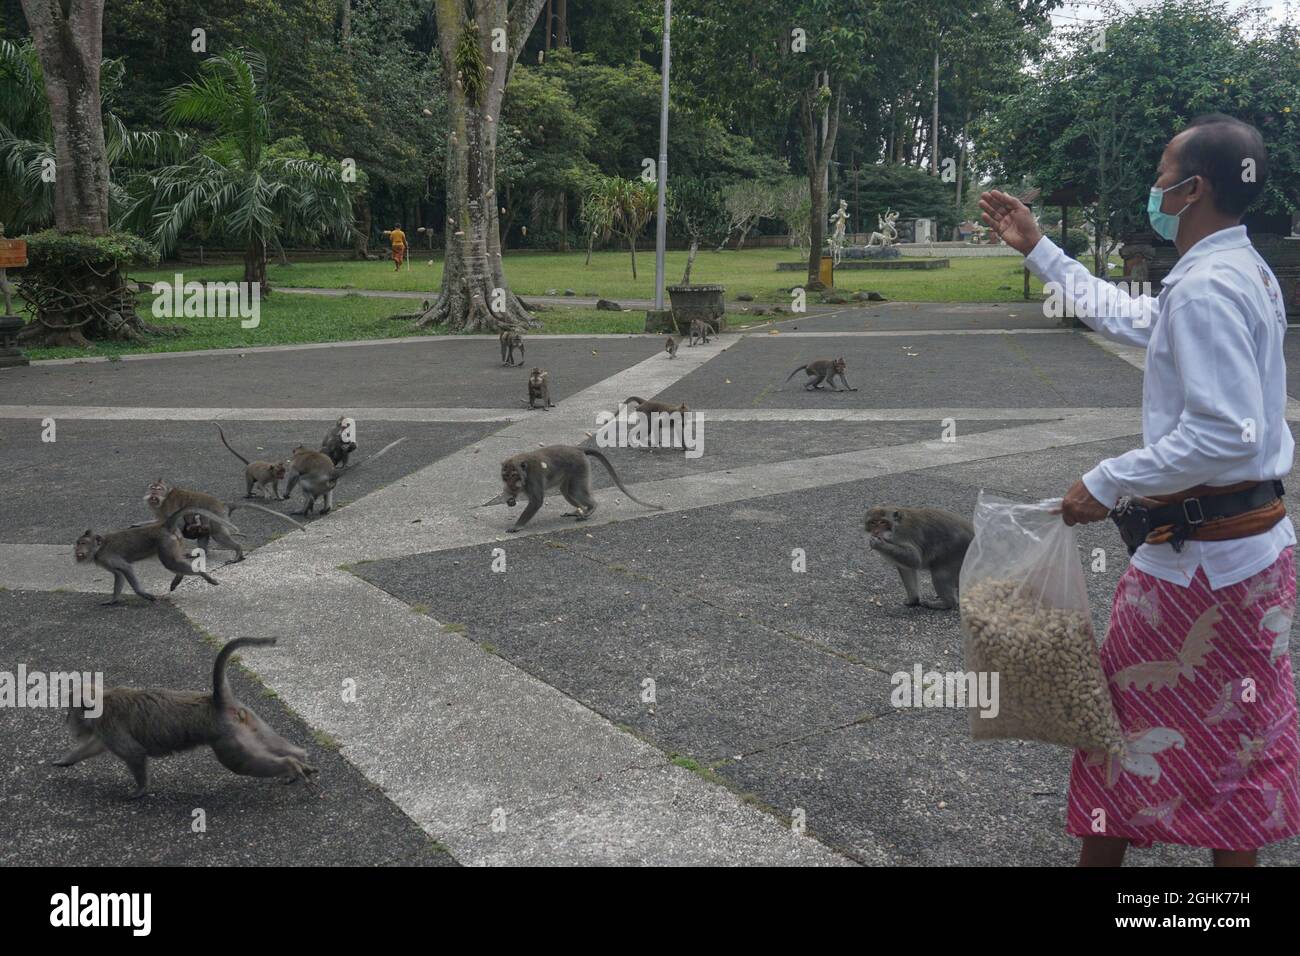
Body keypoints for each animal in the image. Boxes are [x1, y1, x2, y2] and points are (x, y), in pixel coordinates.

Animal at [52, 637, 317, 799]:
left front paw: (140, 790)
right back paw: (299, 759)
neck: (103, 700)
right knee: (275, 744)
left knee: (242, 763)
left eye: (70, 710)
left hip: (228, 741)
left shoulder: (110, 727)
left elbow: (134, 754)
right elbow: (95, 746)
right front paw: (67, 760)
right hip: (249, 721)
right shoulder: (104, 731)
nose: (66, 721)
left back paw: (290, 765)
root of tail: (217, 702)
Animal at [75, 508, 236, 606]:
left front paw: (143, 594)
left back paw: (203, 575)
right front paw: (113, 600)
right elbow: (118, 574)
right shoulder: (105, 561)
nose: (77, 550)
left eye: (83, 543)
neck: (98, 548)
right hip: (175, 542)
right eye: (77, 543)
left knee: (169, 562)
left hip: (166, 543)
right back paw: (178, 578)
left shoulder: (106, 556)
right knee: (174, 561)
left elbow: (126, 568)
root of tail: (163, 526)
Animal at [143, 480, 307, 562]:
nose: (153, 494)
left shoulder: (170, 508)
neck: (163, 500)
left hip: (217, 518)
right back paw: (201, 552)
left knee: (218, 535)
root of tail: (223, 505)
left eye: (158, 489)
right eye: (152, 488)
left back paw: (238, 551)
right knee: (205, 534)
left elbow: (176, 528)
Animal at [499, 445, 663, 532]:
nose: (510, 482)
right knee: (566, 491)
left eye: (514, 474)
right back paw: (580, 510)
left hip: (580, 468)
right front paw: (509, 497)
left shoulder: (534, 477)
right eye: (506, 476)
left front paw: (517, 526)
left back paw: (591, 508)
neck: (525, 470)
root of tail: (577, 448)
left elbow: (536, 501)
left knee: (575, 490)